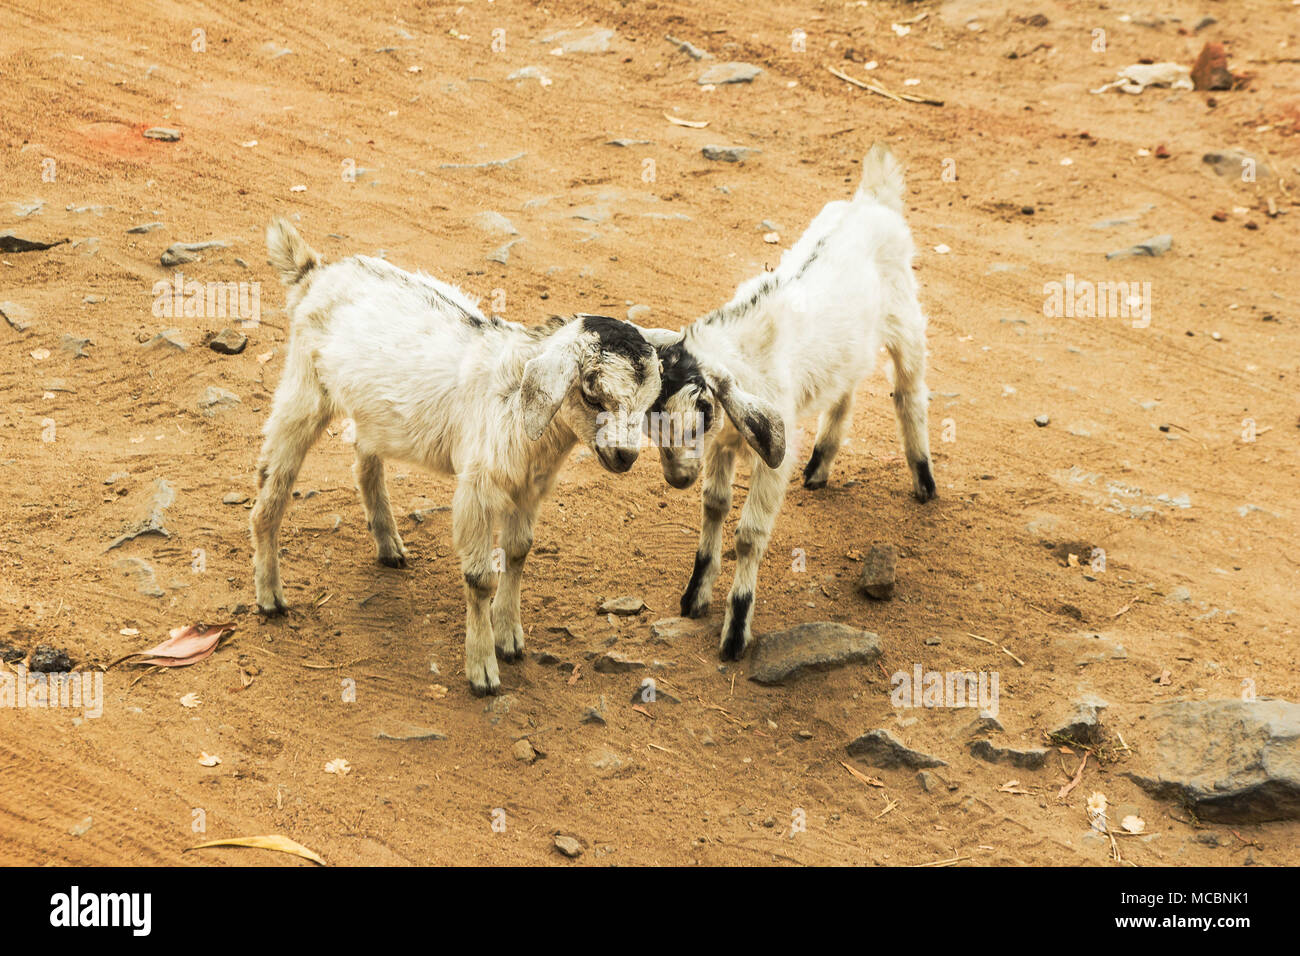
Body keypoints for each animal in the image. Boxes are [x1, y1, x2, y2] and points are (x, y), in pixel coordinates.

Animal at [251, 219, 661, 695]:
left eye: (649, 402)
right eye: (592, 395)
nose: (625, 456)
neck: (515, 400)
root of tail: (314, 271)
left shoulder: (529, 487)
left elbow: (518, 552)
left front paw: (509, 636)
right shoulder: (478, 487)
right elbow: (480, 578)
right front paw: (482, 668)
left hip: (371, 410)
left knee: (364, 459)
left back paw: (388, 543)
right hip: (304, 387)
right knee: (273, 482)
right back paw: (269, 594)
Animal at [636, 143, 936, 661]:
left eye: (701, 412)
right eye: (650, 422)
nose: (677, 478)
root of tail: (872, 199)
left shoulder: (771, 449)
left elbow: (749, 535)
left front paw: (736, 633)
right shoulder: (724, 445)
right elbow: (714, 506)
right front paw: (694, 597)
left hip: (905, 319)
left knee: (910, 392)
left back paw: (924, 481)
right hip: (850, 347)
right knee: (845, 389)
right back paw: (819, 467)